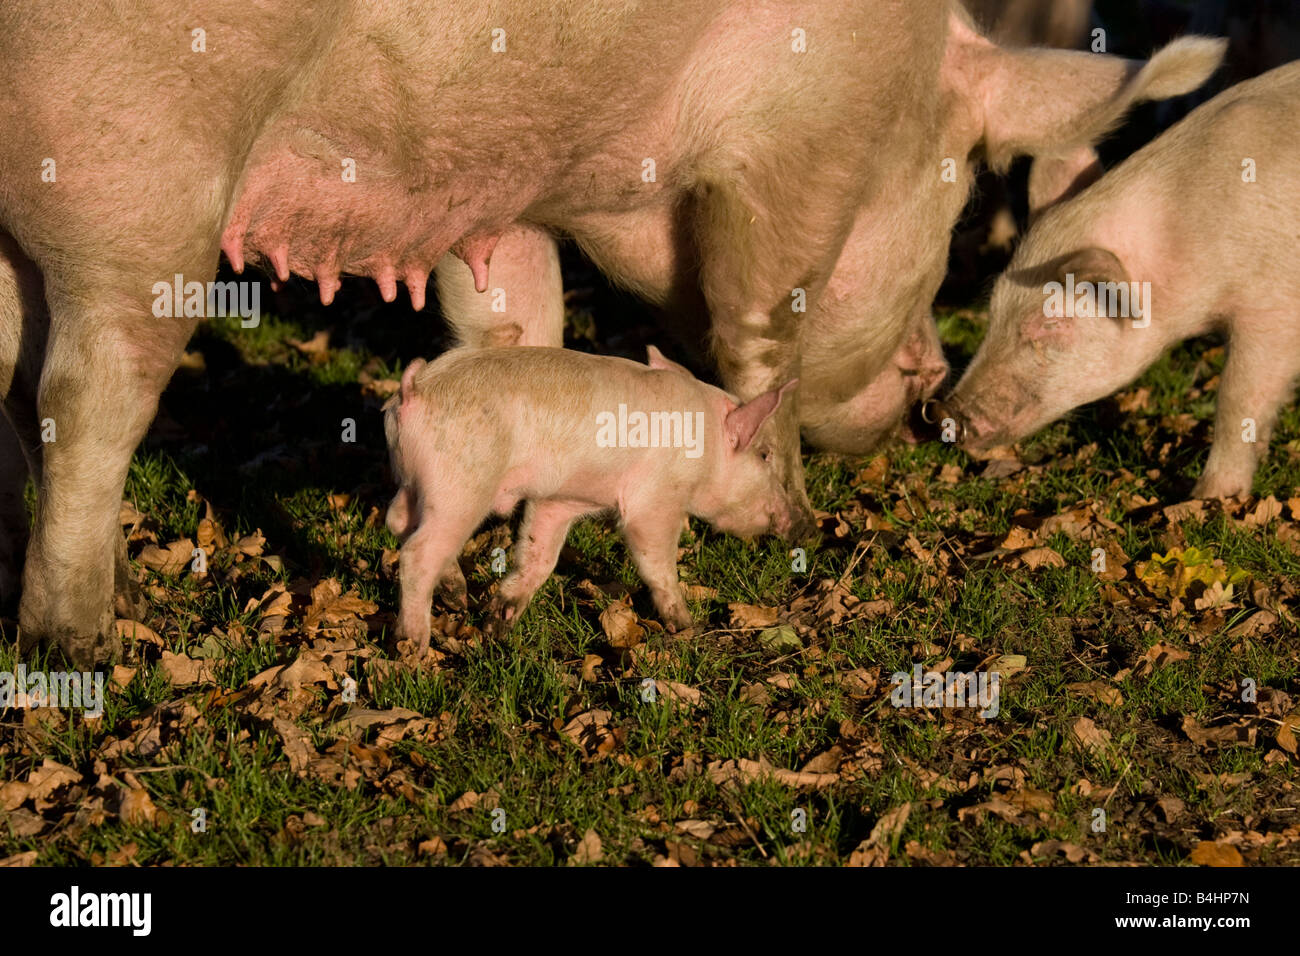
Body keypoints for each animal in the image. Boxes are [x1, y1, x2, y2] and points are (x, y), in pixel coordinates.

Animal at [383, 346, 801, 650]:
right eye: (764, 455)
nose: (791, 521)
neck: (706, 444)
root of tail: (413, 391)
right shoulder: (655, 499)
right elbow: (655, 560)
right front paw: (687, 626)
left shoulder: (560, 500)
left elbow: (540, 554)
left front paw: (496, 626)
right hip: (460, 483)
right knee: (418, 550)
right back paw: (413, 647)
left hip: (413, 480)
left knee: (397, 521)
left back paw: (457, 598)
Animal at [942, 60, 1300, 500]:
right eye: (993, 314)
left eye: (1050, 324)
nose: (944, 413)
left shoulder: (1272, 310)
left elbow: (1237, 398)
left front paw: (1205, 497)